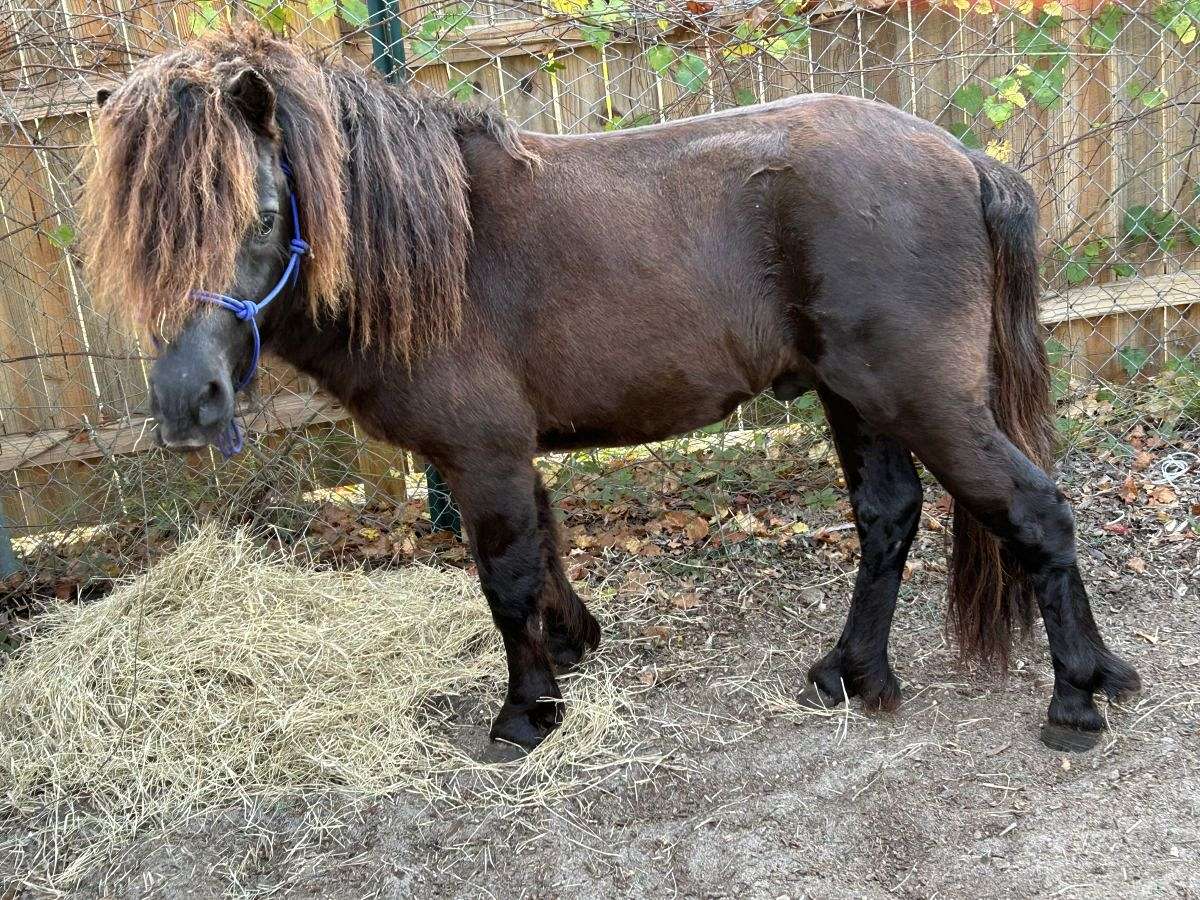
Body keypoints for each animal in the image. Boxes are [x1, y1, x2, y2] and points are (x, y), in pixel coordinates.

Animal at [81, 25, 1141, 753]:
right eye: (135, 238)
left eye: (263, 214)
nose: (188, 403)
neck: (442, 249)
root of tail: (963, 157)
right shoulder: (503, 457)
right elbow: (546, 549)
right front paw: (572, 645)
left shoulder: (482, 456)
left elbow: (506, 578)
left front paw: (526, 712)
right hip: (858, 398)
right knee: (889, 517)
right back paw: (852, 673)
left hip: (921, 398)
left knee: (1034, 511)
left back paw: (1078, 694)